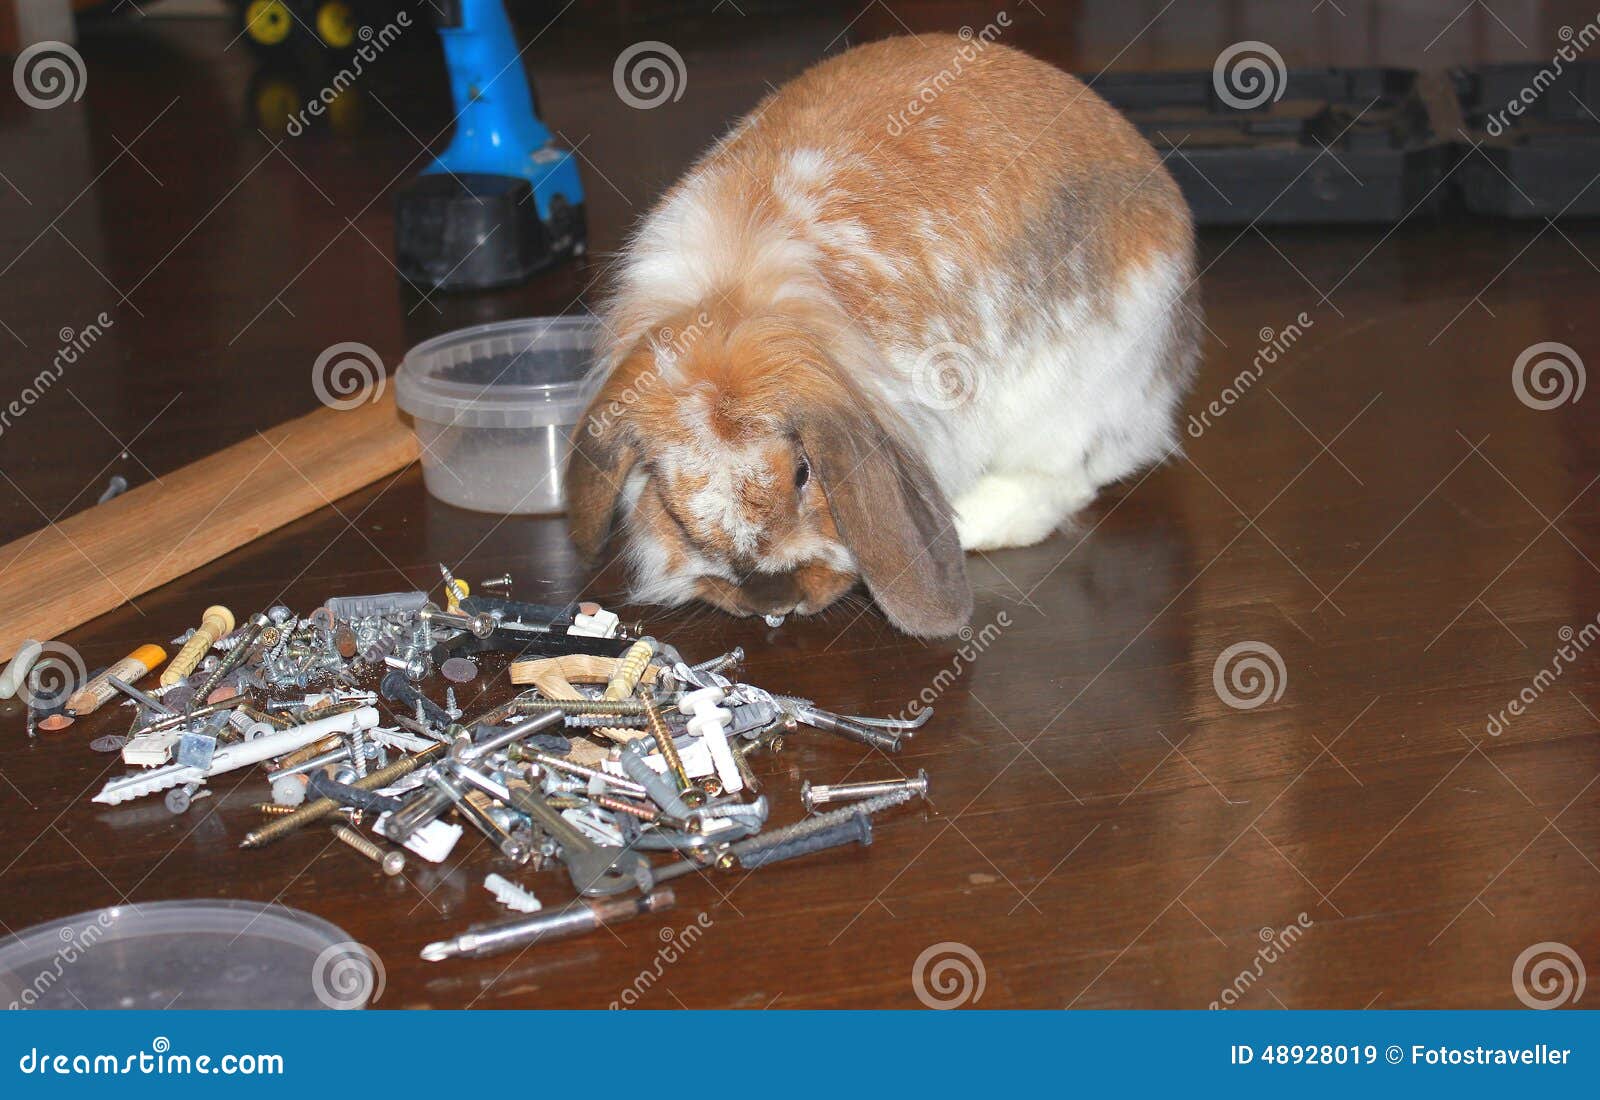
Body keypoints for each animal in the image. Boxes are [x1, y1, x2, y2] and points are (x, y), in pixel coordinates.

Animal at [566, 34, 1200, 637]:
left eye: (803, 474)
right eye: (670, 508)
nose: (773, 599)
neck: (729, 303)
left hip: (1073, 396)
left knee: (1071, 476)